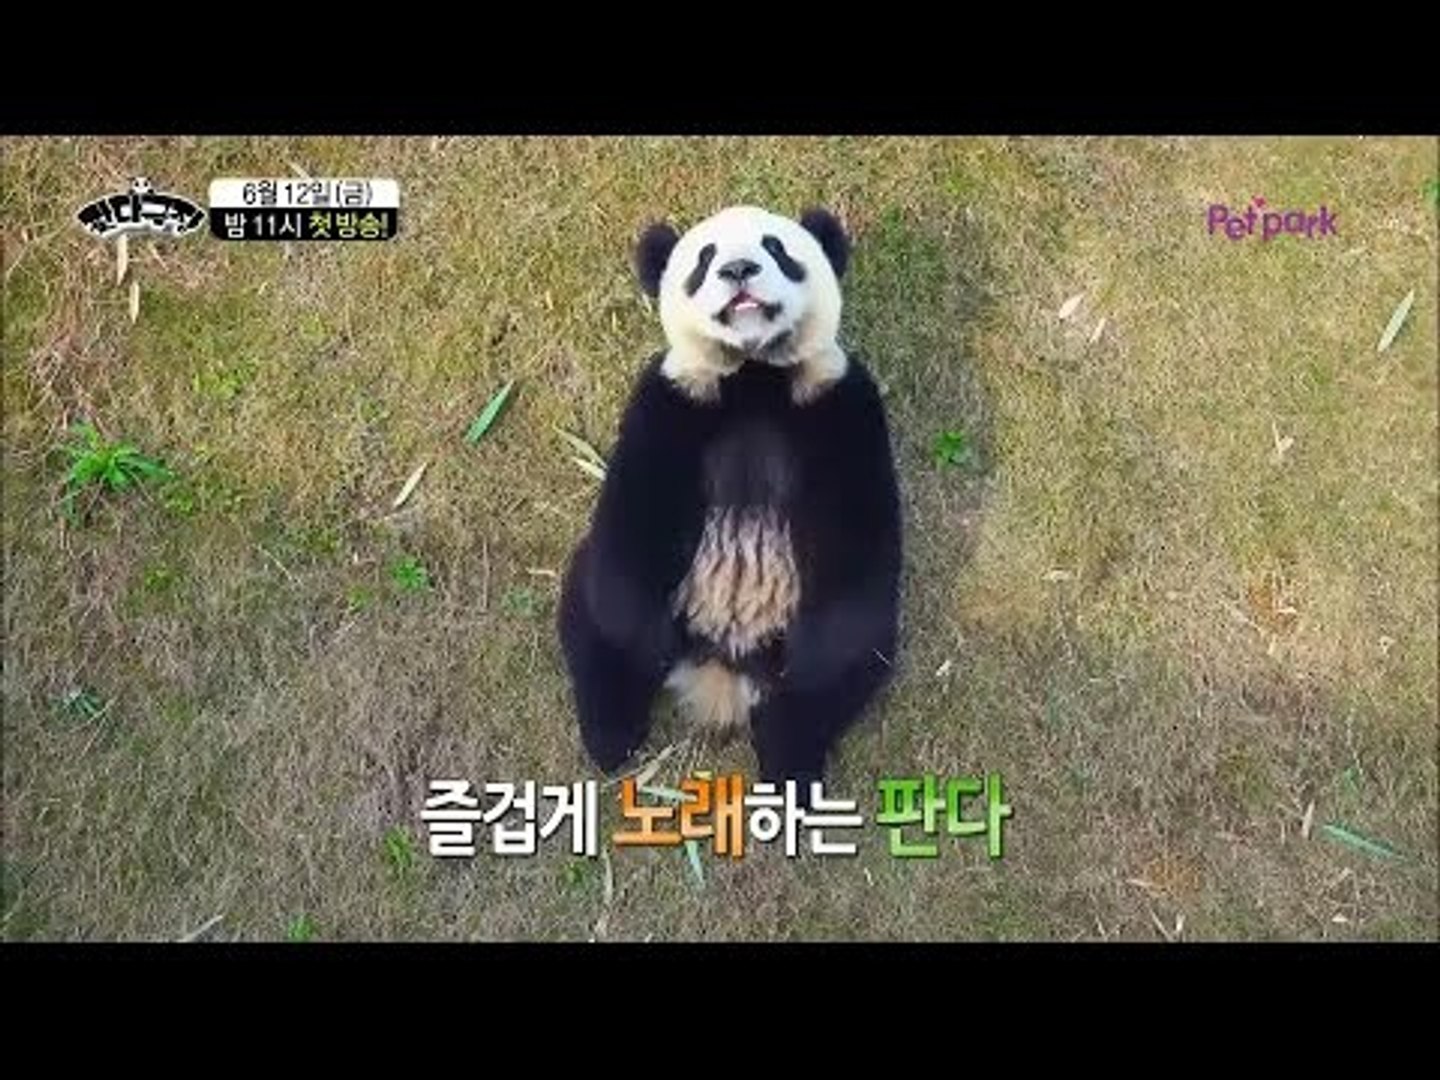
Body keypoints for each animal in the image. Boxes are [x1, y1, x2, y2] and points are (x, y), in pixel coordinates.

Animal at [557, 204, 902, 796]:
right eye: (704, 258)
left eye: (777, 248)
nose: (739, 270)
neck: (754, 374)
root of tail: (726, 665)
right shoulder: (673, 397)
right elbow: (639, 514)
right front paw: (644, 648)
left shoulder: (839, 399)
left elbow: (856, 528)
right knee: (595, 623)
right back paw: (611, 735)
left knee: (837, 679)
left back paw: (790, 767)